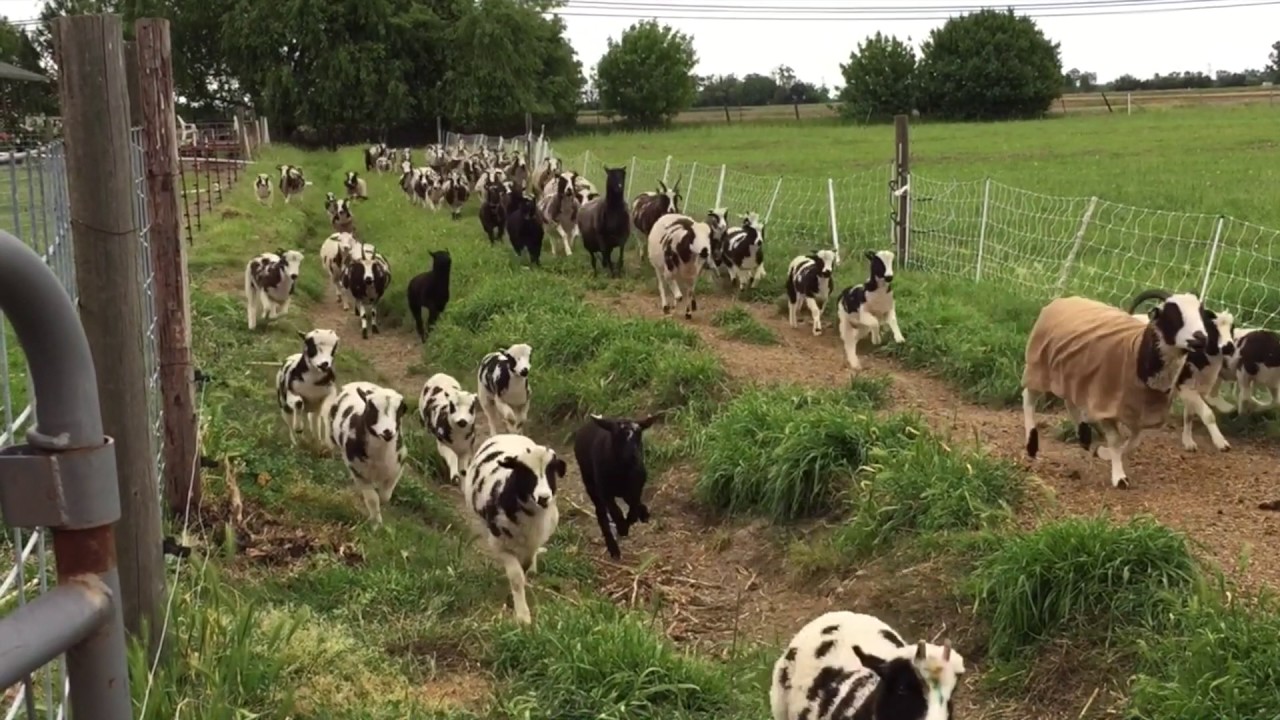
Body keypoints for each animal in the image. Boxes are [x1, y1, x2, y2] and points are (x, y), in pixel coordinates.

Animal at [322, 381, 407, 526]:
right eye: (371, 407)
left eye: (400, 411)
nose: (388, 432)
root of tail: (358, 383)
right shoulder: (358, 471)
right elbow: (373, 498)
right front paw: (376, 523)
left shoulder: (397, 468)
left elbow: (385, 496)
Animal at [572, 412, 663, 559]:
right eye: (616, 436)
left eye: (639, 434)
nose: (634, 457)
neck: (623, 471)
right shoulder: (605, 492)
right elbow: (616, 511)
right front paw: (622, 528)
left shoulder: (636, 488)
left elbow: (634, 506)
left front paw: (635, 518)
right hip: (590, 484)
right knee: (601, 515)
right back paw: (613, 548)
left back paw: (642, 514)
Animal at [1022, 293, 1209, 489]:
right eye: (1173, 314)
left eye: (1201, 313)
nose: (1201, 338)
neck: (1138, 355)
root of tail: (1063, 299)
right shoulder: (1105, 405)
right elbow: (1116, 440)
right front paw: (1119, 476)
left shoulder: (1136, 412)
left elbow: (1133, 441)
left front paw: (1103, 453)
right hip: (1039, 365)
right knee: (1029, 398)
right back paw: (1032, 445)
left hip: (1072, 373)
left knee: (1069, 401)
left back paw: (1084, 436)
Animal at [1127, 289, 1233, 451]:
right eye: (1212, 327)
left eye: (1232, 328)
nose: (1230, 347)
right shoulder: (1185, 387)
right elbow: (1208, 415)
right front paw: (1221, 443)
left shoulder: (1195, 389)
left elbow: (1189, 416)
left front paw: (1188, 442)